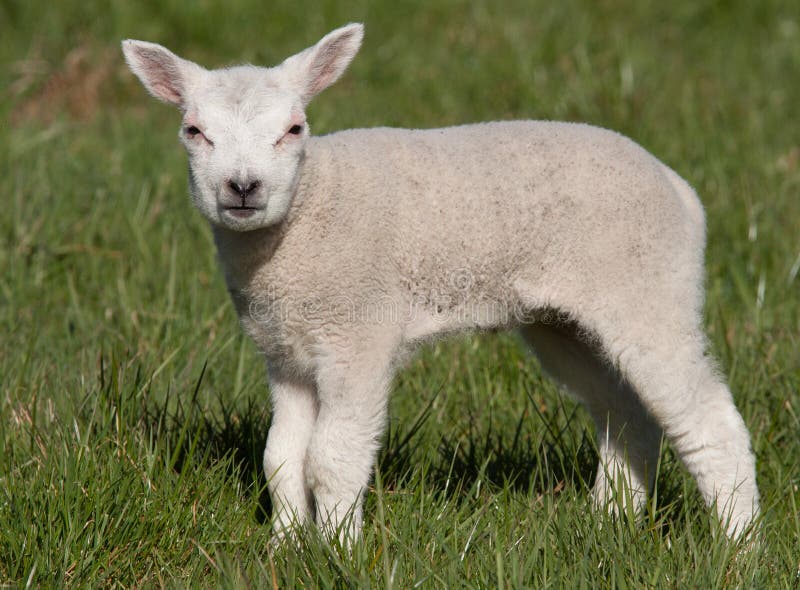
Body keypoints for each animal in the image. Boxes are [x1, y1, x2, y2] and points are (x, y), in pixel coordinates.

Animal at [122, 23, 759, 545]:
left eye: (295, 129)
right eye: (194, 131)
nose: (243, 187)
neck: (306, 216)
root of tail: (680, 189)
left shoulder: (358, 335)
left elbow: (332, 457)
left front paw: (336, 550)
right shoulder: (286, 352)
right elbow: (281, 460)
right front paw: (284, 548)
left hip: (649, 288)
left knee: (708, 418)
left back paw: (740, 546)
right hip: (568, 320)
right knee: (626, 412)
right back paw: (610, 522)